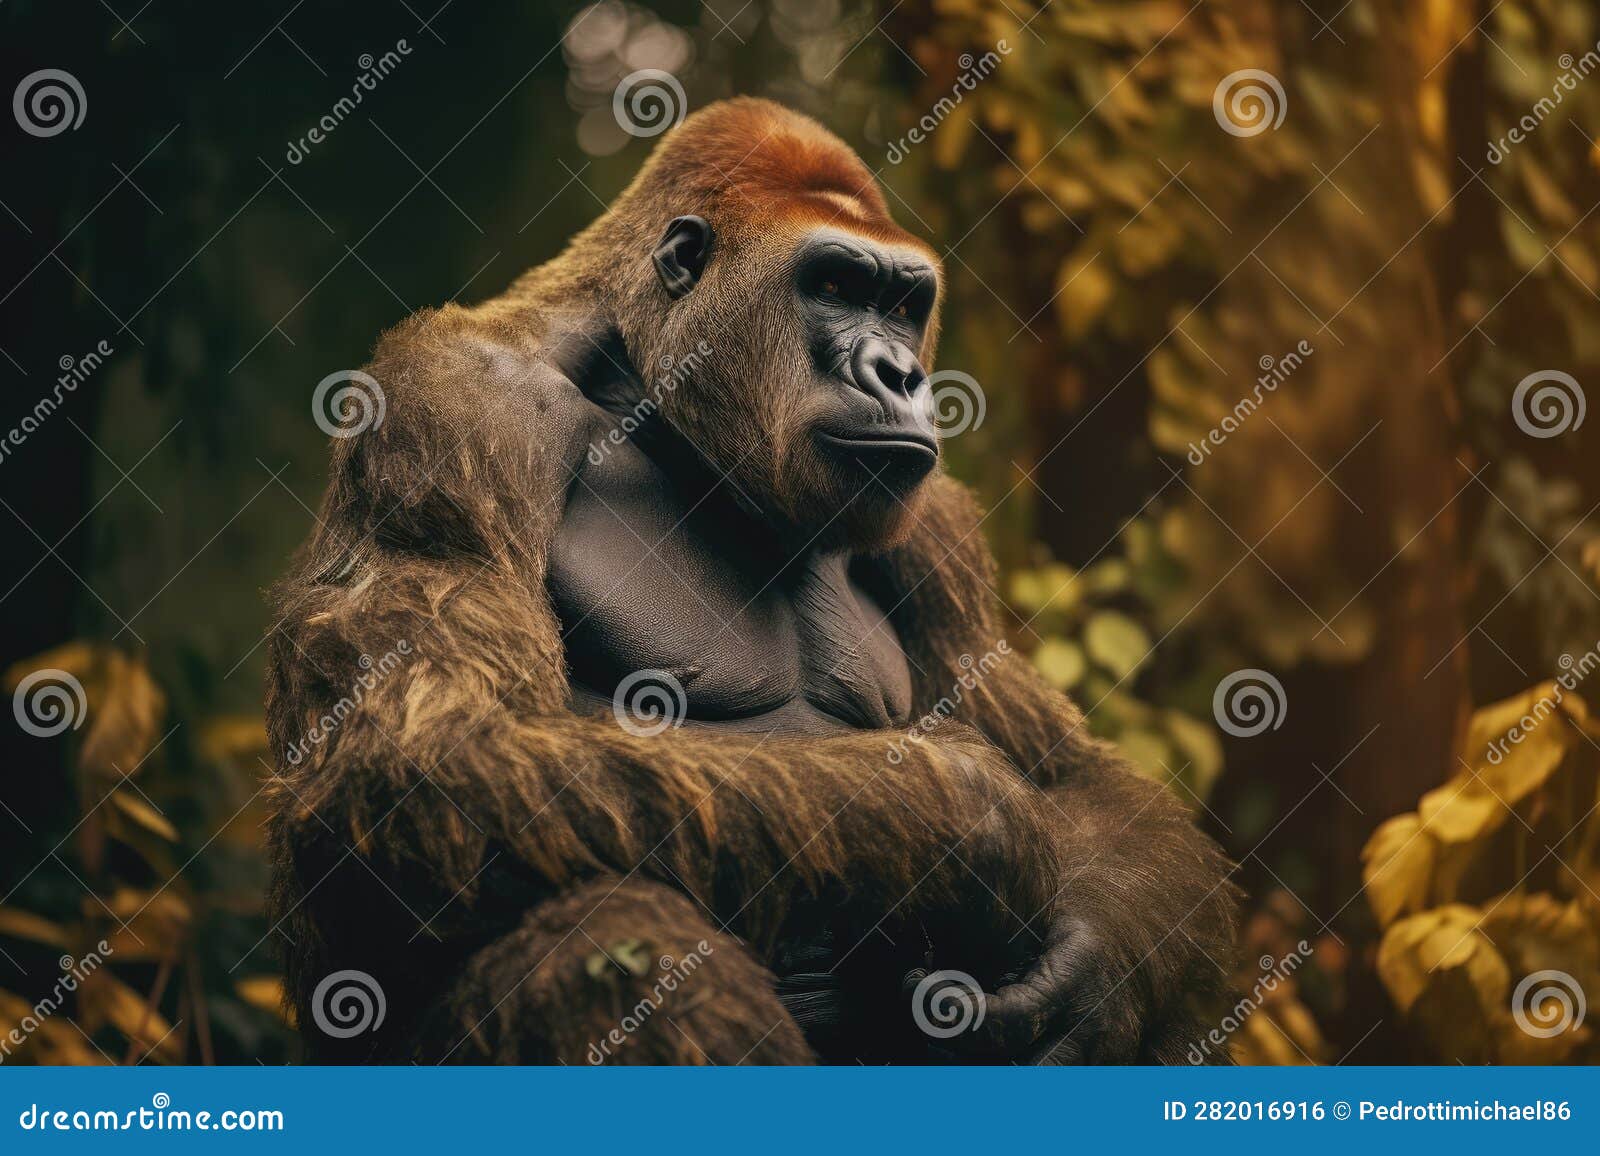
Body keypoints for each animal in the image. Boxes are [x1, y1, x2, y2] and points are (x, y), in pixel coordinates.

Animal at [264, 97, 1237, 1065]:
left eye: (903, 304)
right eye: (834, 287)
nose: (902, 375)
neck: (647, 399)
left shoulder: (941, 535)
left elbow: (1084, 780)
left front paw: (1081, 988)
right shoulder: (455, 403)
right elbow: (427, 753)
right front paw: (974, 822)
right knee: (604, 931)